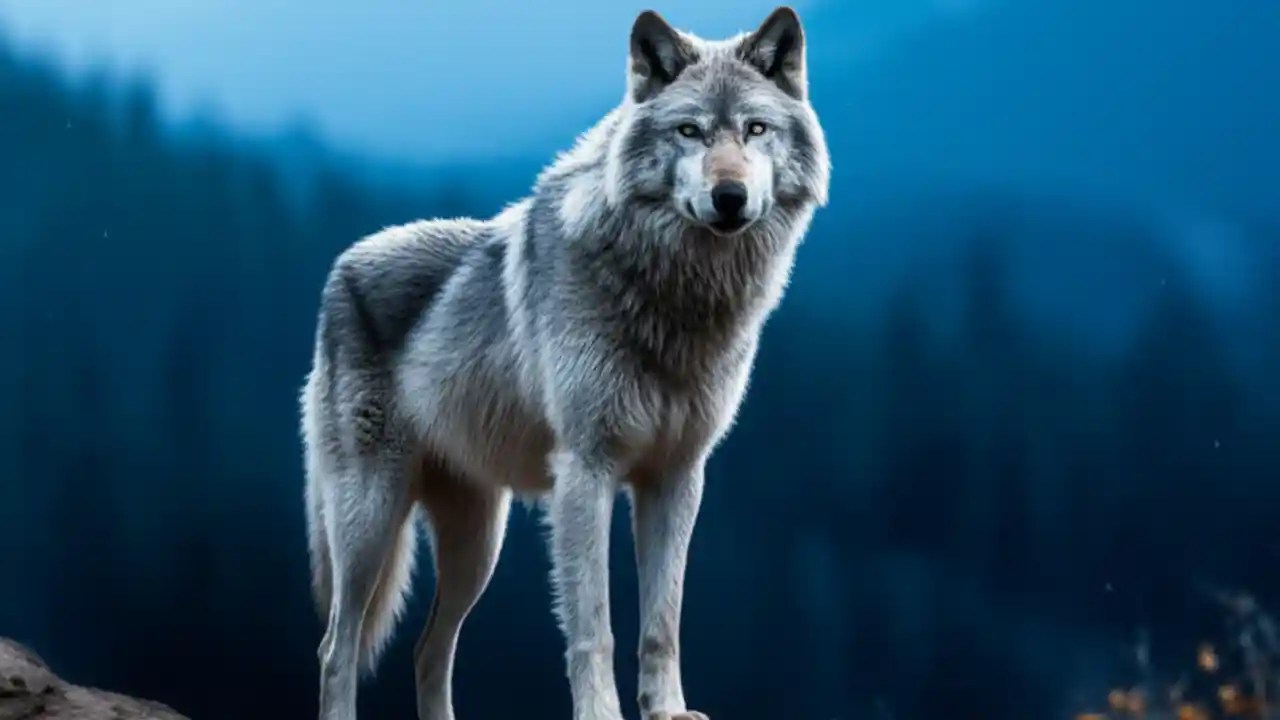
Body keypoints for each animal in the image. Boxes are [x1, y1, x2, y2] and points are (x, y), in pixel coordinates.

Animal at [300, 6, 829, 720]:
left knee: (428, 649)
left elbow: (663, 620)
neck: (675, 298)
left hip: (477, 545)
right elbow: (594, 624)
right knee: (338, 646)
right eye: (689, 130)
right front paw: (602, 712)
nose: (729, 195)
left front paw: (666, 709)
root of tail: (341, 265)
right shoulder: (586, 469)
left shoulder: (678, 477)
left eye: (755, 129)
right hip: (370, 523)